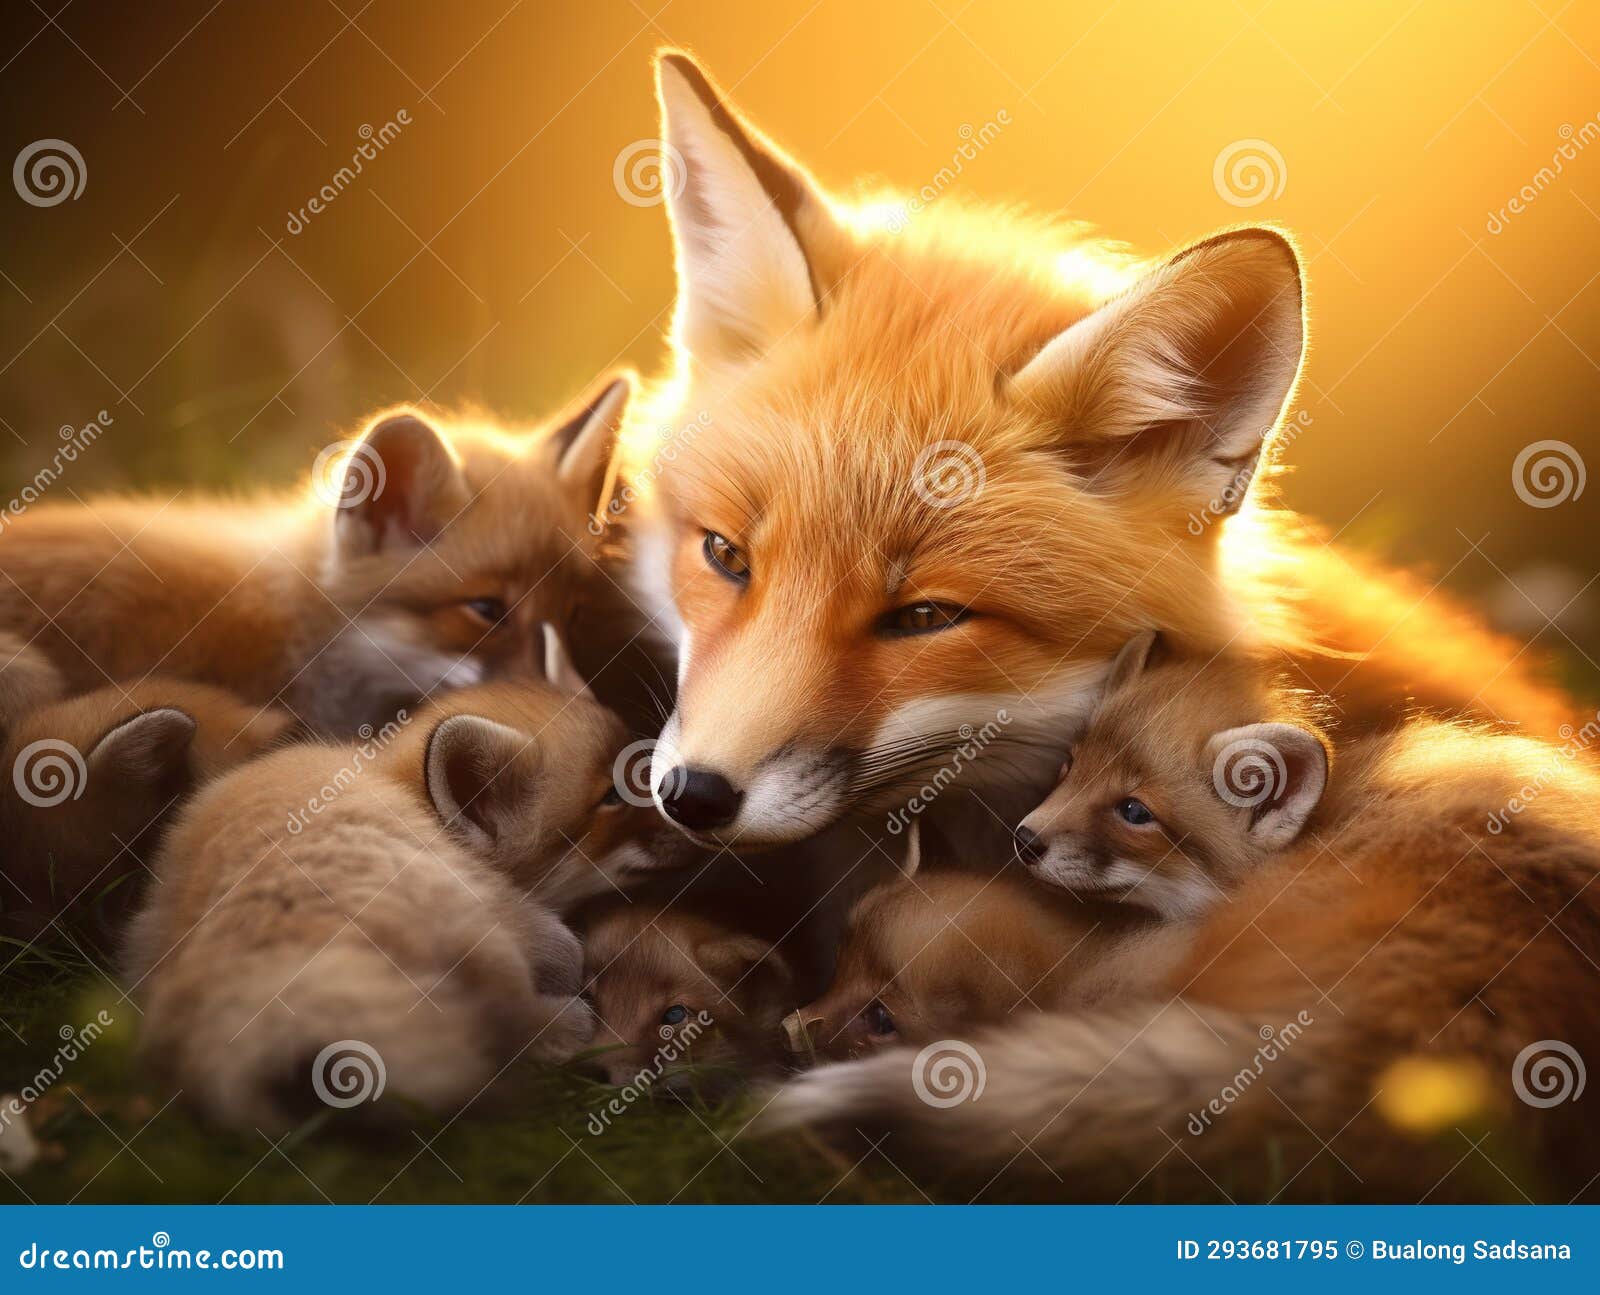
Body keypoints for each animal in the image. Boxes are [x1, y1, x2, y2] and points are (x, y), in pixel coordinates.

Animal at [122, 628, 696, 1130]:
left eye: (639, 767)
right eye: (611, 798)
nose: (693, 811)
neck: (392, 782)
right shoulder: (495, 899)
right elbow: (558, 945)